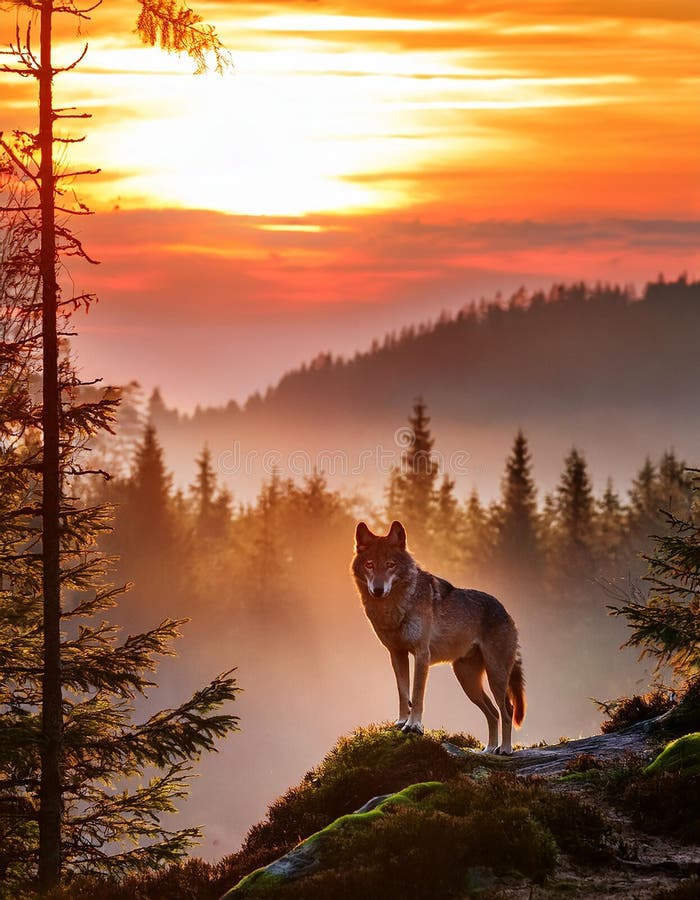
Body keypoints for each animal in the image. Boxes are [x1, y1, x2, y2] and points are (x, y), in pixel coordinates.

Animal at [351, 520, 525, 754]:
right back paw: (489, 750)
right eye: (370, 565)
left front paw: (414, 726)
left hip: (495, 675)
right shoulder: (397, 654)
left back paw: (505, 749)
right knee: (493, 713)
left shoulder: (421, 654)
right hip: (468, 681)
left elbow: (416, 694)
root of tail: (506, 612)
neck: (395, 608)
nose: (378, 590)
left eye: (390, 565)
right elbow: (402, 693)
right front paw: (401, 722)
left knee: (507, 710)